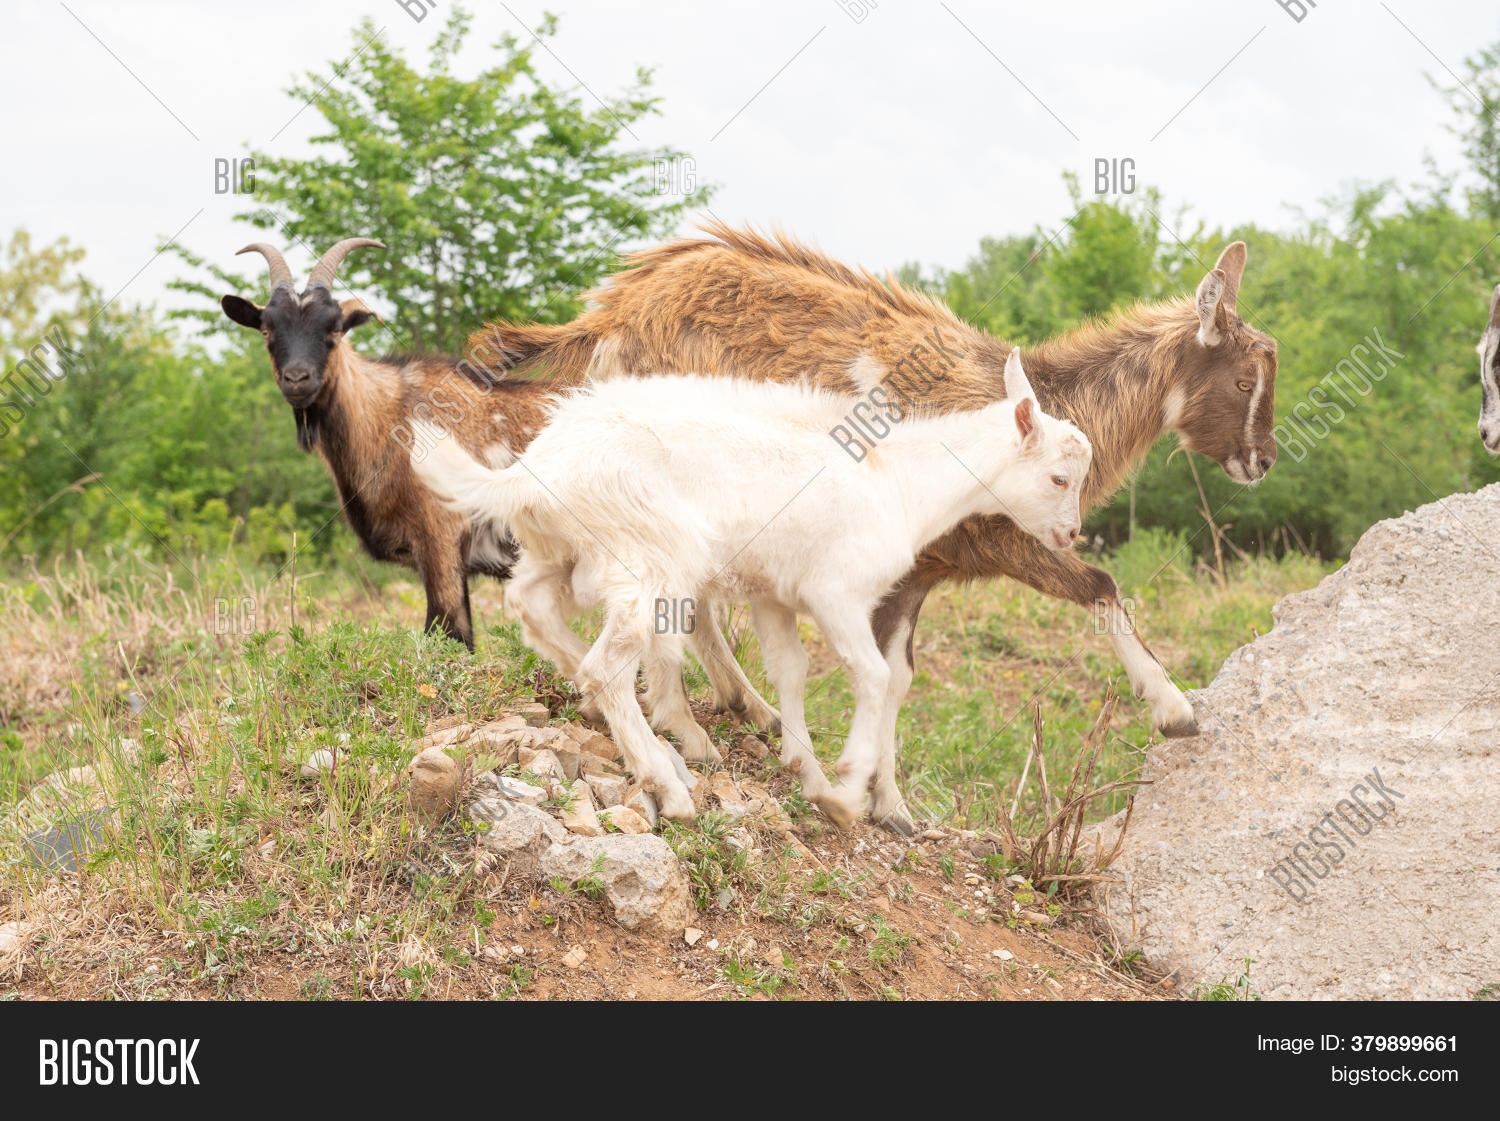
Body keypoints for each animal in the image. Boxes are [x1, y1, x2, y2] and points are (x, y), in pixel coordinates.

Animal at [222, 238, 775, 759]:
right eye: (267, 330)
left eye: (333, 328)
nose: (298, 379)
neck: (388, 417)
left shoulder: (441, 539)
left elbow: (451, 635)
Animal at [409, 352, 1091, 826]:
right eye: (1060, 478)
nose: (1072, 534)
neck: (899, 480)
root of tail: (534, 470)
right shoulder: (836, 592)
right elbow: (873, 675)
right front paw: (846, 793)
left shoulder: (774, 596)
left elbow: (790, 669)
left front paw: (805, 769)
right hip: (654, 557)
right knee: (608, 664)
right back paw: (667, 781)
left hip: (566, 553)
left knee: (532, 606)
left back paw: (627, 719)